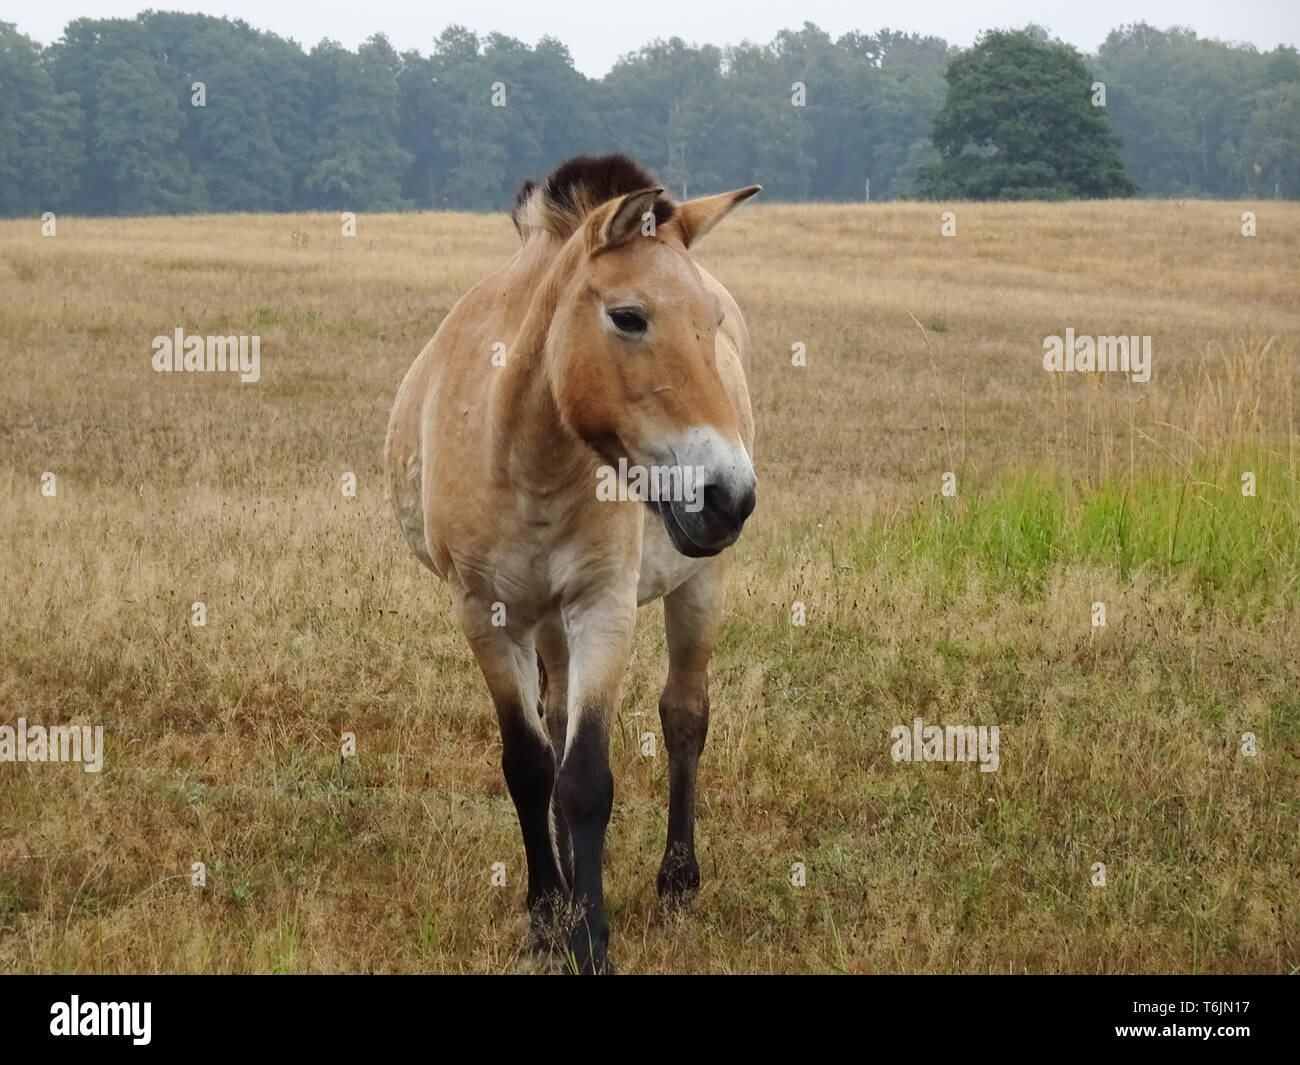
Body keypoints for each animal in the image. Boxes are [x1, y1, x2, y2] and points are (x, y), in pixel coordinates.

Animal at [384, 154, 759, 973]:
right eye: (629, 316)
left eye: (711, 325)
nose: (729, 496)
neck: (528, 454)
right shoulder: (485, 613)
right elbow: (531, 766)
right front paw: (546, 916)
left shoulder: (601, 607)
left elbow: (586, 778)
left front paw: (589, 939)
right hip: (544, 621)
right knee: (554, 728)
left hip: (698, 585)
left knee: (685, 717)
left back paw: (677, 886)